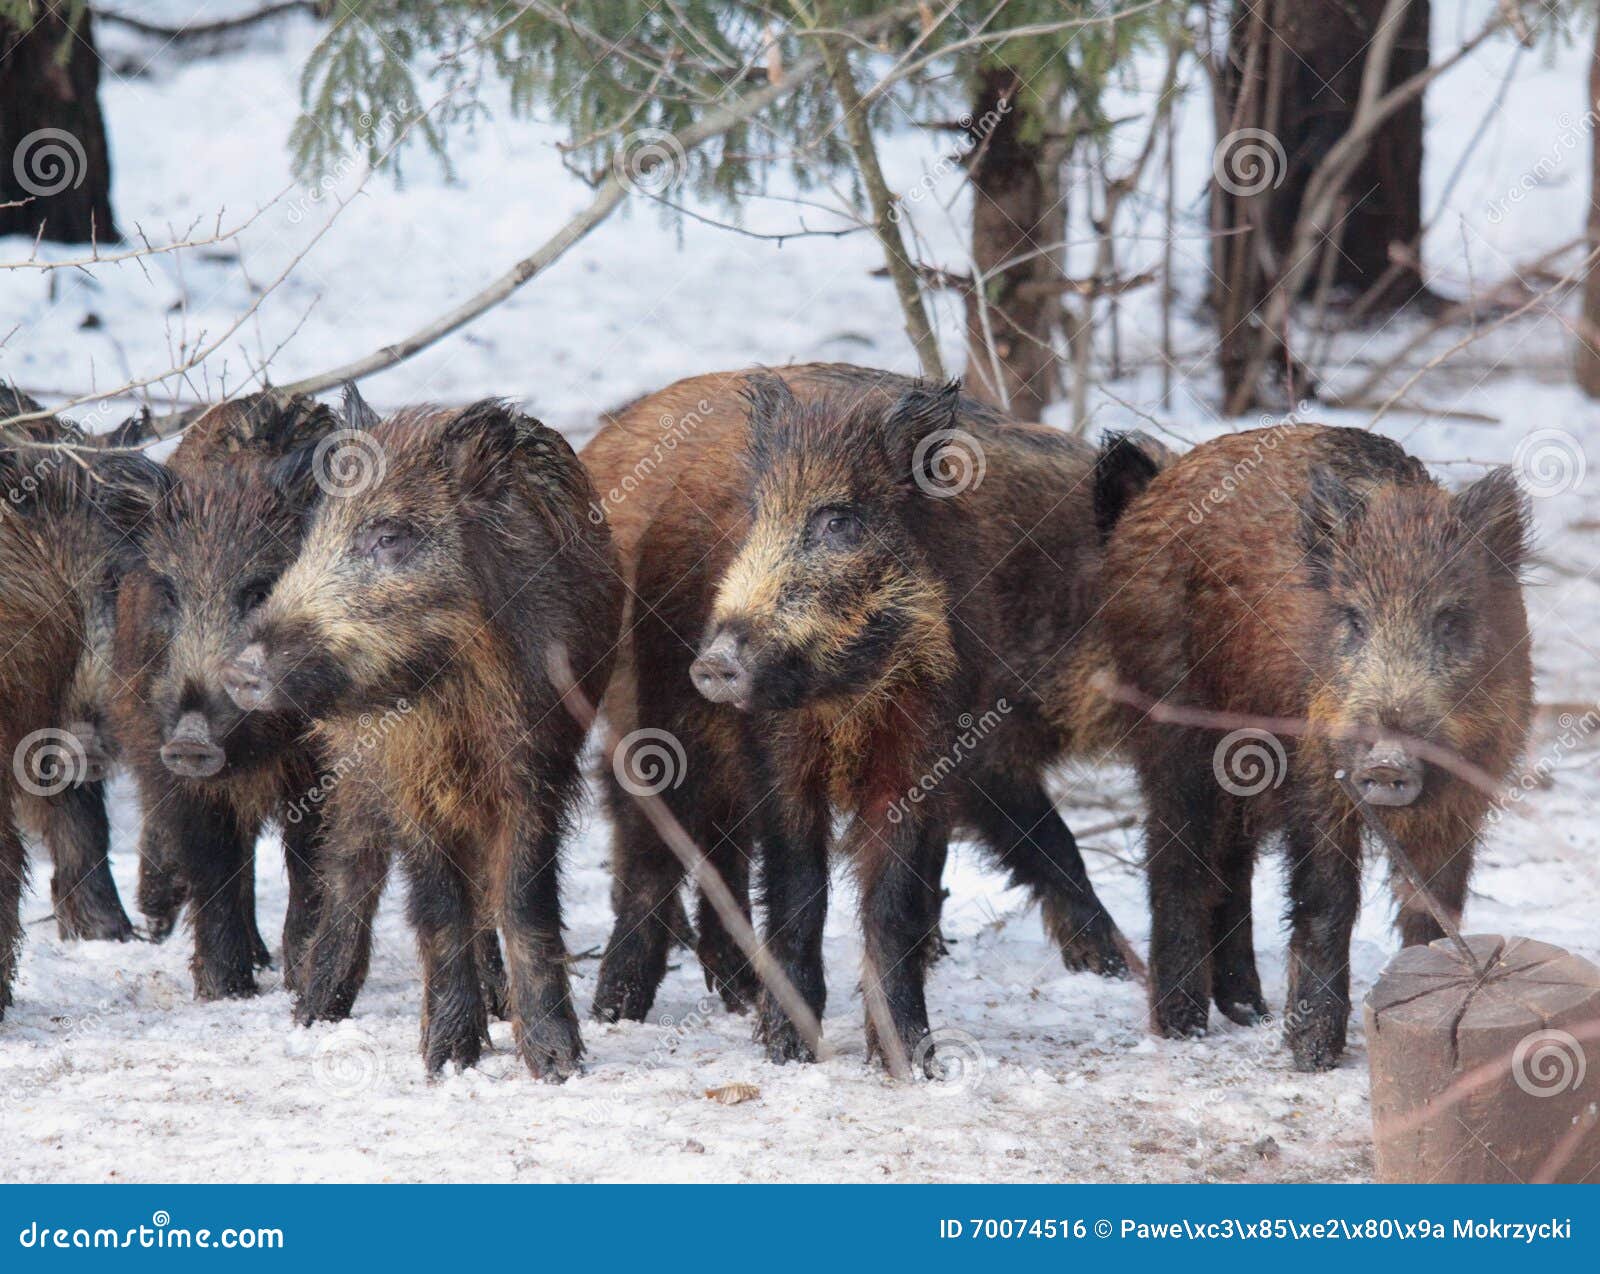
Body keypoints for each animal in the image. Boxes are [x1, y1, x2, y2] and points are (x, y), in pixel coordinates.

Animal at [222, 397, 621, 1078]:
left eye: (390, 537)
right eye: (313, 538)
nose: (240, 672)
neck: (449, 690)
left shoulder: (539, 762)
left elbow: (524, 897)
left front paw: (557, 1065)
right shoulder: (399, 767)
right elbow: (437, 903)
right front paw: (448, 1063)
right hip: (352, 768)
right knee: (351, 860)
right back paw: (314, 1013)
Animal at [1099, 424, 1533, 1070]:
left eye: (1451, 620)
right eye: (1352, 619)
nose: (1386, 761)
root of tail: (1157, 486)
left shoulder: (1472, 787)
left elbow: (1436, 901)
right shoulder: (1315, 774)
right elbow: (1328, 898)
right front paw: (1312, 1058)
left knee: (1232, 859)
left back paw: (1248, 1010)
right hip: (1170, 724)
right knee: (1175, 850)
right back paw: (1183, 1026)